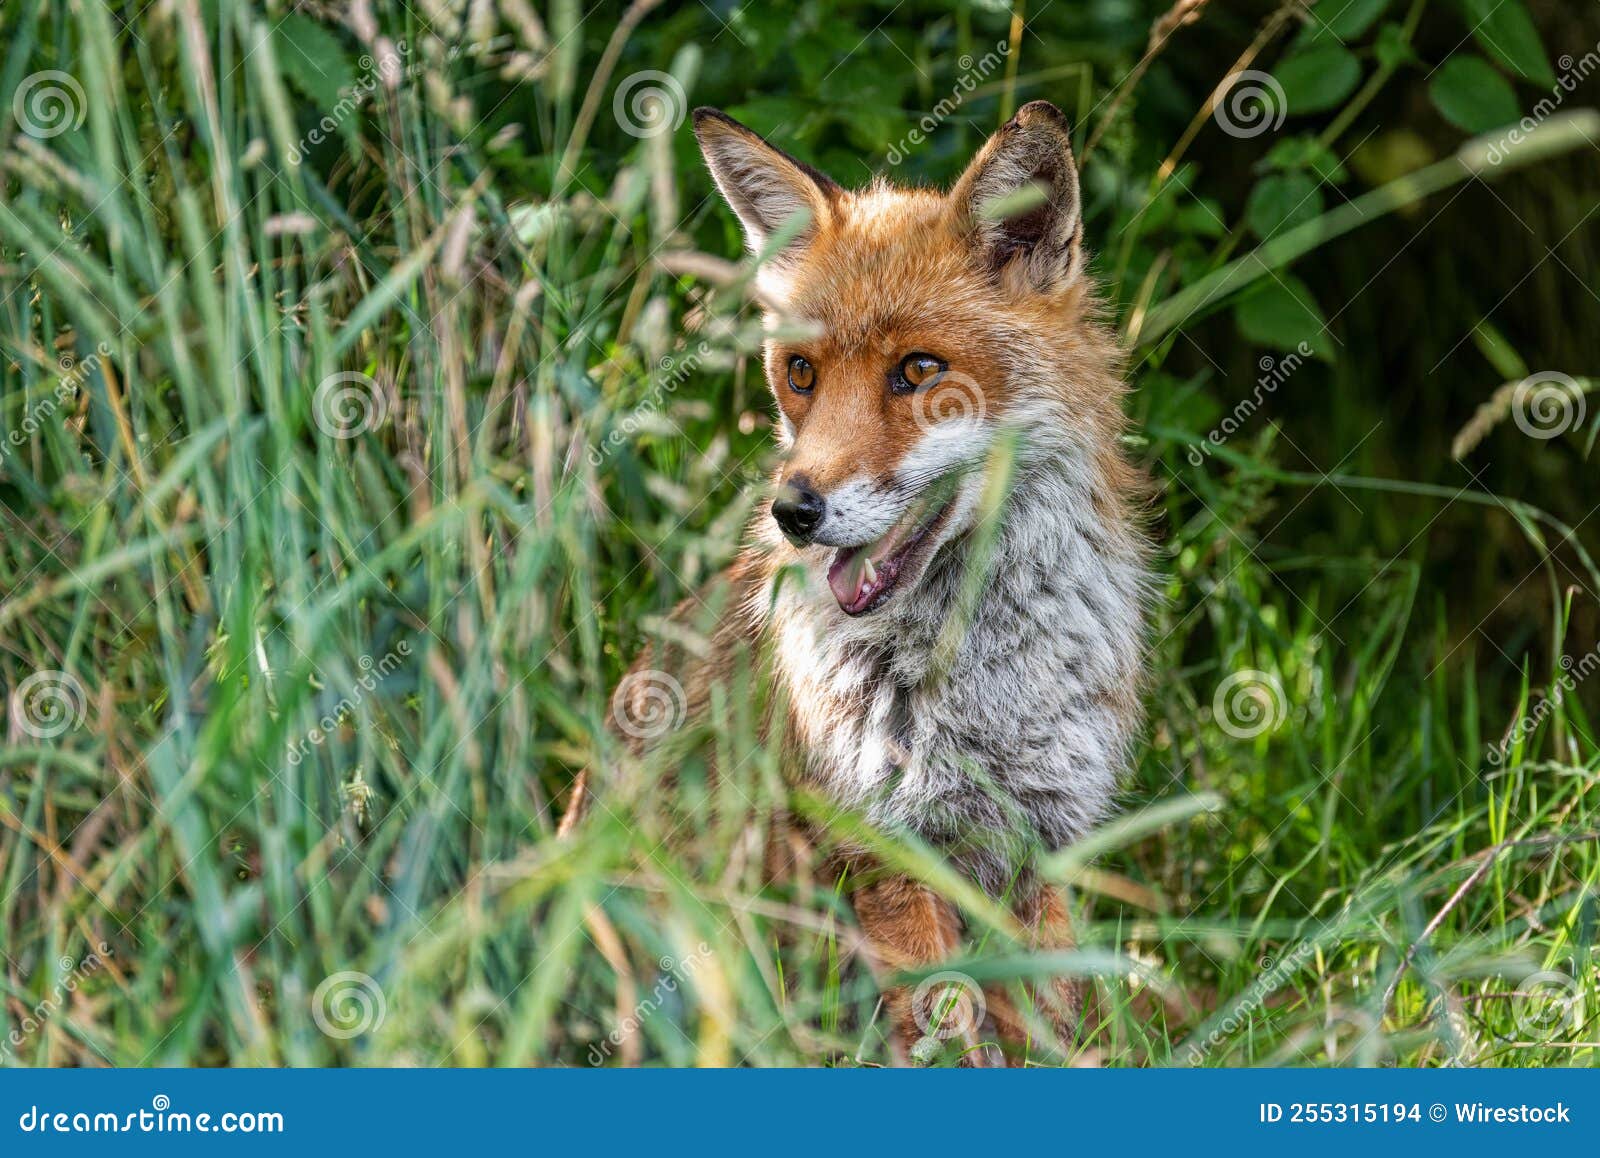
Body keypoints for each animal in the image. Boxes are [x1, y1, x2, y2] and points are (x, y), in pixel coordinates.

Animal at [561, 100, 1151, 1065]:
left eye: (918, 370)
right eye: (800, 374)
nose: (792, 511)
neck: (983, 682)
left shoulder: (1040, 845)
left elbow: (1049, 1025)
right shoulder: (879, 847)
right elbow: (946, 1030)